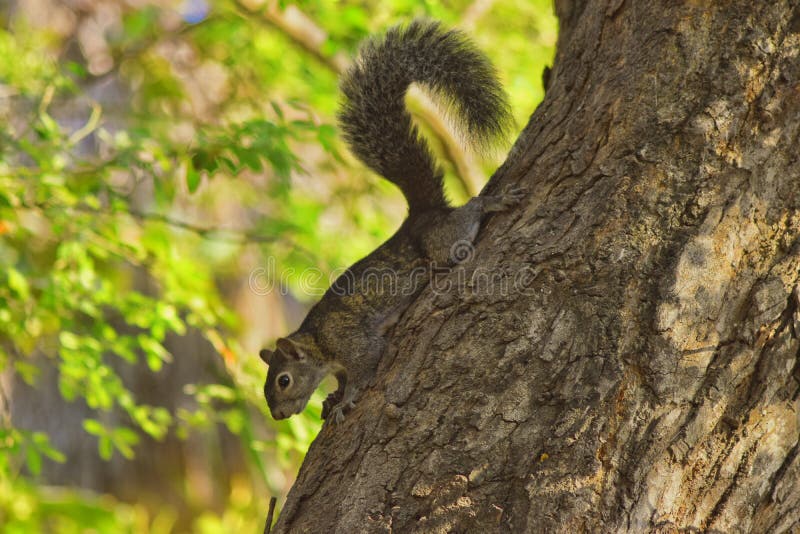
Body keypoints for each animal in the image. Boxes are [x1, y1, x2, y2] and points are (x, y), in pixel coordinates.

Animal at [259, 20, 524, 424]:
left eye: (283, 380)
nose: (277, 415)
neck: (319, 343)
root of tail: (421, 213)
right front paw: (332, 398)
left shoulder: (353, 341)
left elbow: (364, 368)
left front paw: (346, 401)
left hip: (441, 242)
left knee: (468, 214)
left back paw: (493, 201)